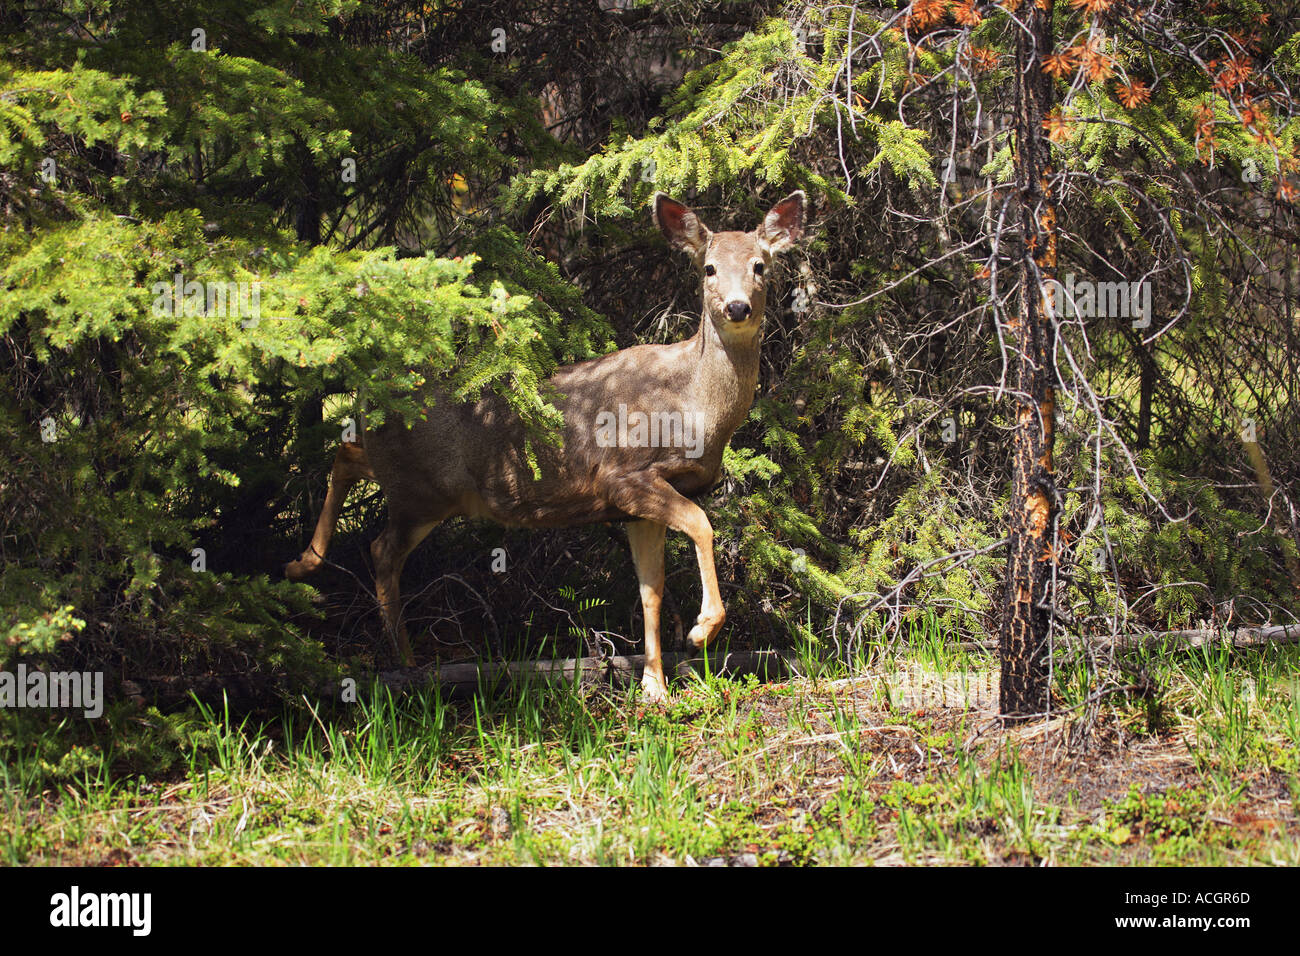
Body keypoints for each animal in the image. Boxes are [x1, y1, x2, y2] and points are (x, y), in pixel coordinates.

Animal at [285, 190, 806, 701]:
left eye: (761, 265)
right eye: (708, 268)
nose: (737, 308)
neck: (694, 406)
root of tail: (377, 391)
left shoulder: (634, 509)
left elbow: (650, 590)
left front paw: (653, 685)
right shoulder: (624, 476)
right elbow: (701, 524)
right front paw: (700, 632)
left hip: (415, 481)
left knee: (348, 457)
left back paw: (302, 563)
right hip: (423, 492)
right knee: (381, 549)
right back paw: (404, 661)